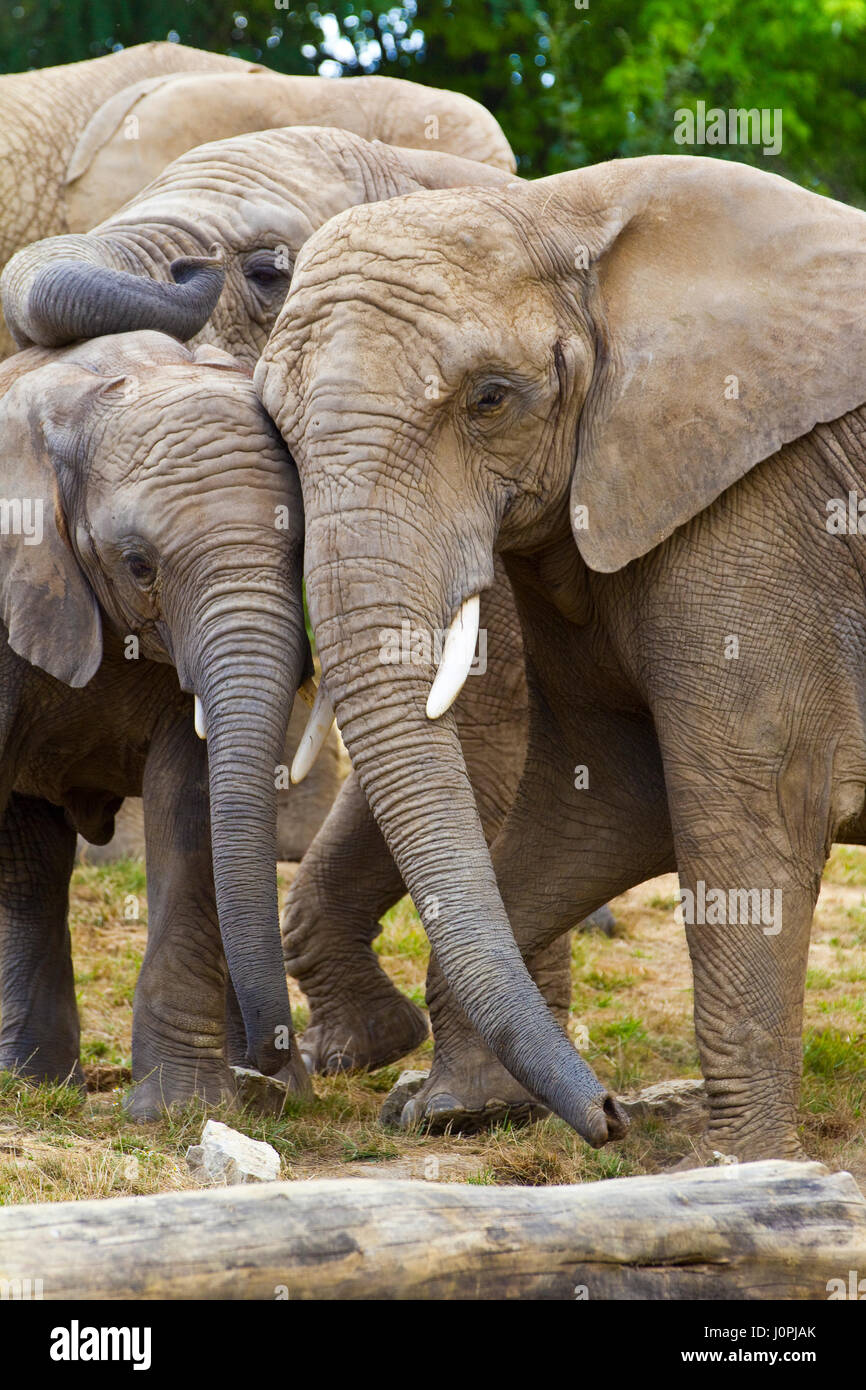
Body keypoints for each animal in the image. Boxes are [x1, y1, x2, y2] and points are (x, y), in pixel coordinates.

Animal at [0, 327, 310, 1118]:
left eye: (303, 553)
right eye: (140, 565)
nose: (270, 1059)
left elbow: (192, 811)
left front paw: (180, 1111)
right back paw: (32, 1086)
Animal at [256, 154, 866, 1160]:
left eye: (490, 399)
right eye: (274, 424)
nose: (610, 1116)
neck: (563, 212)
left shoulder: (762, 509)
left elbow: (755, 815)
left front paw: (739, 1168)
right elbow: (605, 797)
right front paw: (448, 1112)